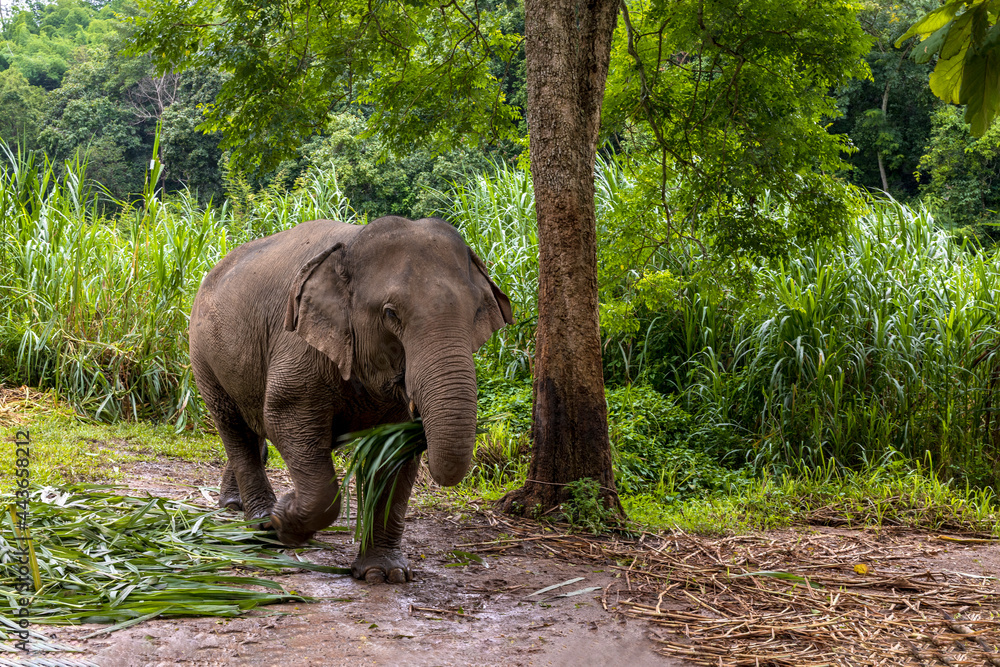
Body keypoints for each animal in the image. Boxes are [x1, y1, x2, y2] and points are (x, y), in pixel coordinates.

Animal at [188, 215, 513, 583]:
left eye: (475, 312)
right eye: (390, 314)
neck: (352, 245)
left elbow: (395, 452)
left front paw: (384, 574)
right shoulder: (297, 341)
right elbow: (283, 417)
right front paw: (281, 519)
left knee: (250, 427)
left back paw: (235, 505)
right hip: (202, 353)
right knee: (233, 426)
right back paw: (258, 523)